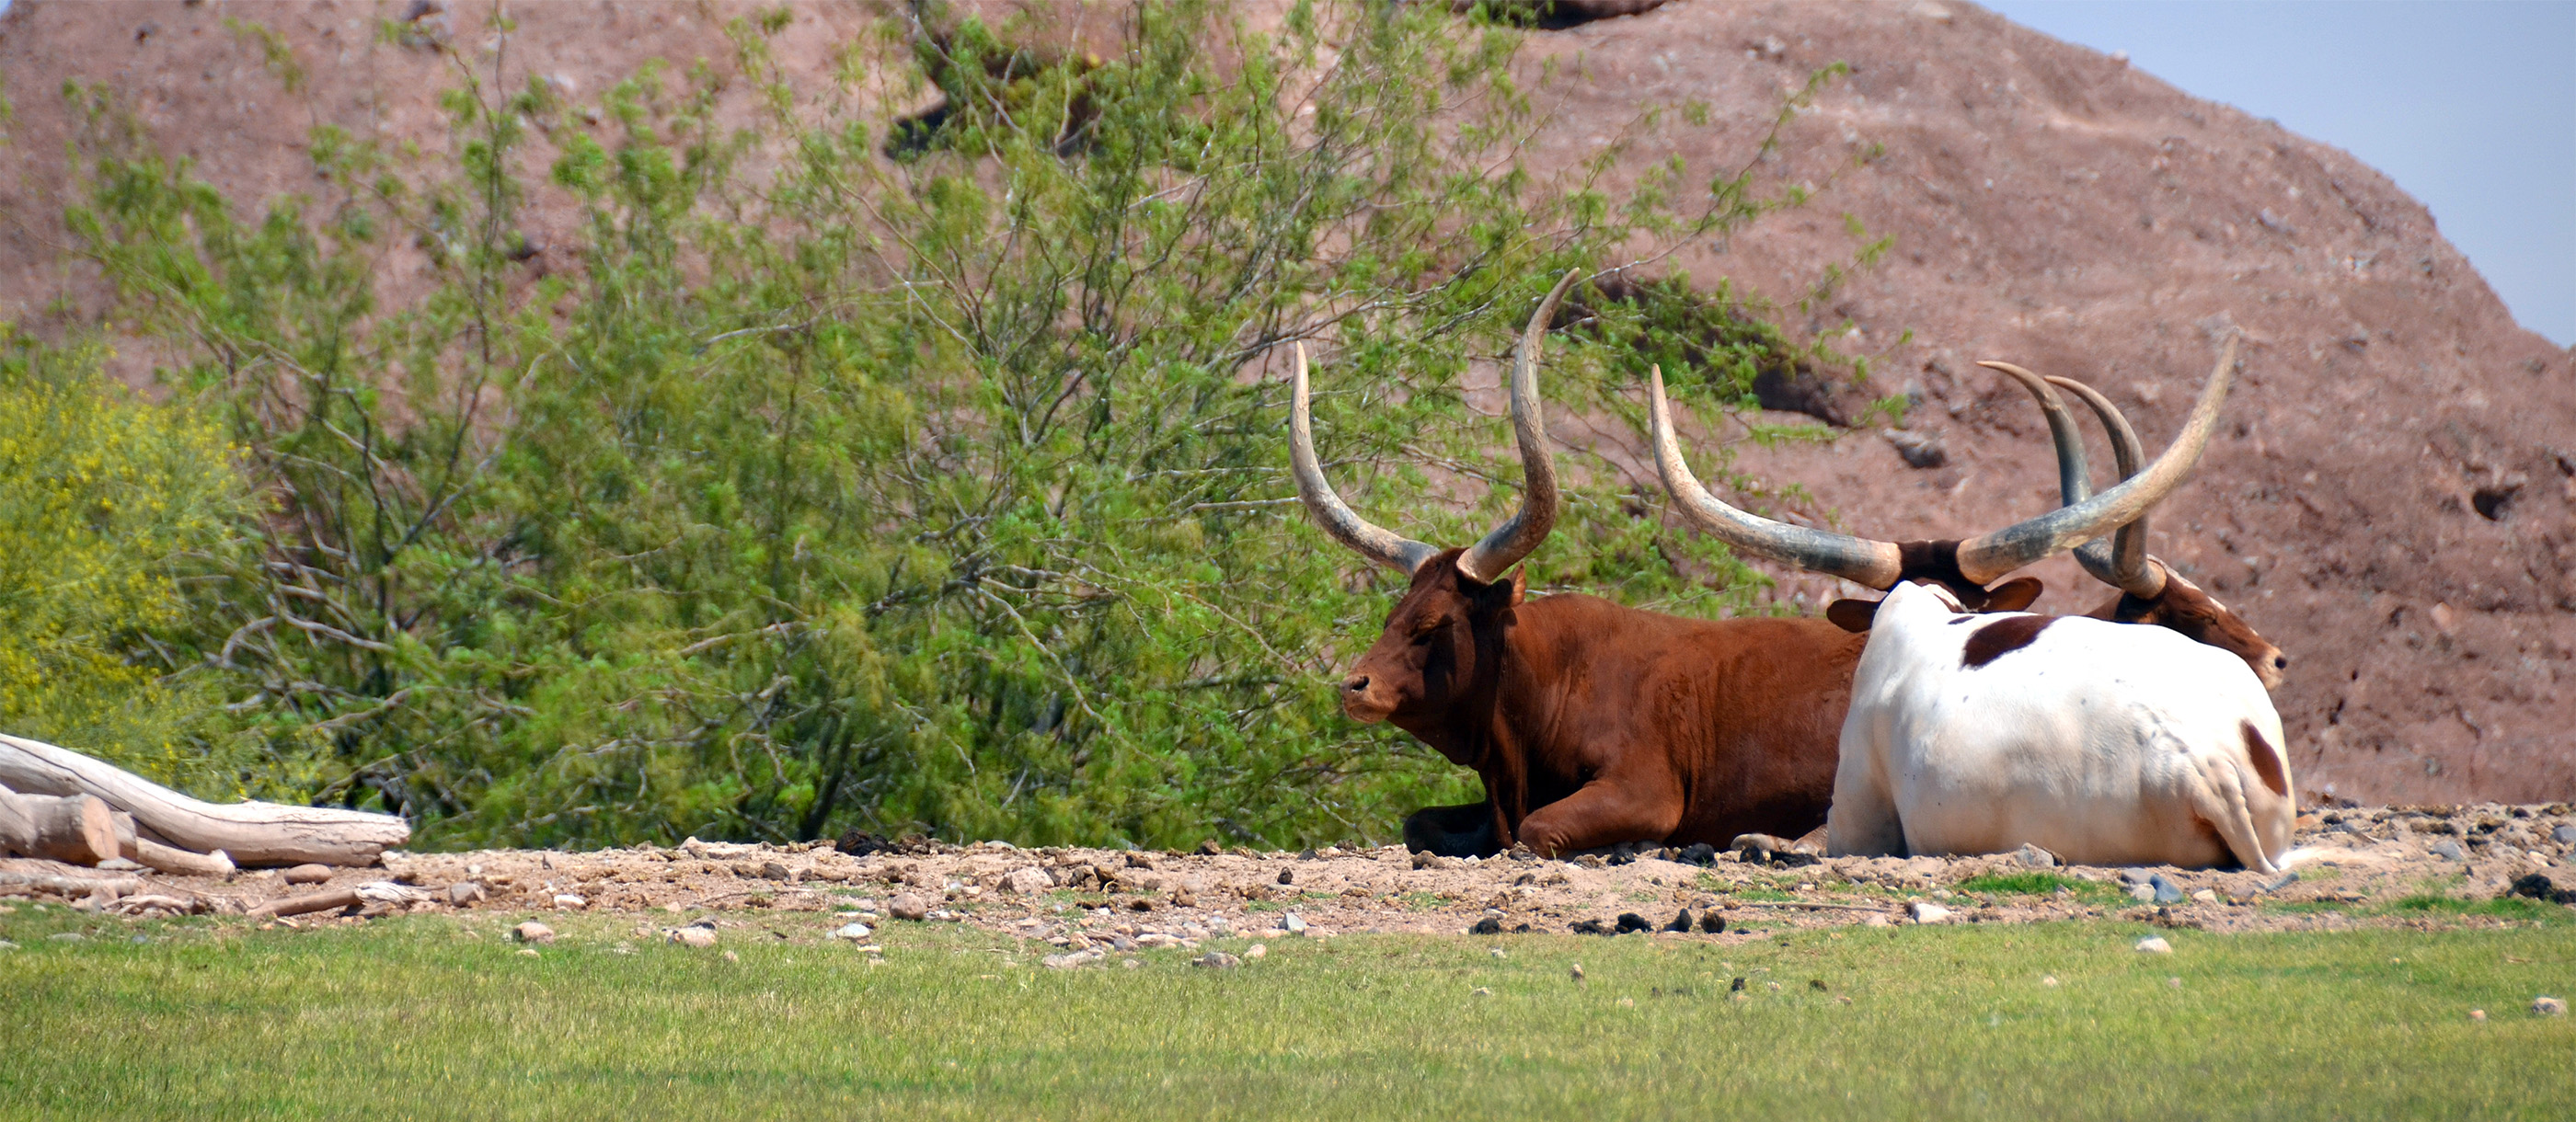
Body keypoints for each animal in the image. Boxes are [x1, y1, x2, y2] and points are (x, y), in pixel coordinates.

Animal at [1295, 270, 2205, 857]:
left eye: (1434, 624)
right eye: (1394, 614)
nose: (1354, 686)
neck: (1549, 675)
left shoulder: (1644, 791)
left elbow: (1537, 836)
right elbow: (1422, 823)